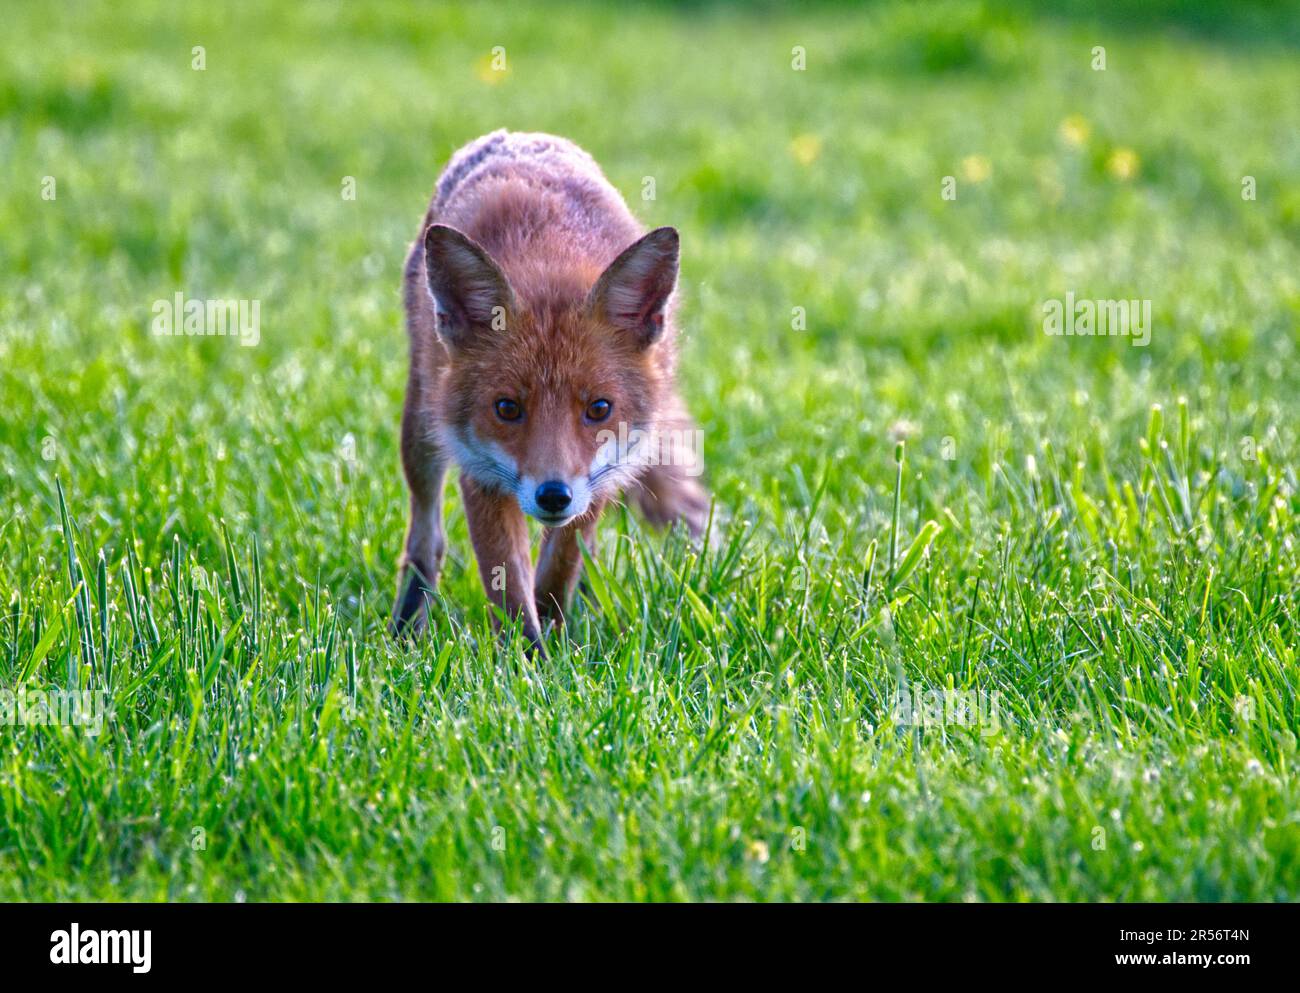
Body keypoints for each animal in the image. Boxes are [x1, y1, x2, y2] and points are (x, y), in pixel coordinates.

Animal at [390, 130, 710, 650]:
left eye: (599, 408)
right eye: (506, 408)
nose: (553, 496)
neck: (550, 254)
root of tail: (517, 135)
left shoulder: (600, 475)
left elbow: (559, 569)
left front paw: (555, 641)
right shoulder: (479, 468)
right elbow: (509, 589)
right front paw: (525, 660)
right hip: (421, 424)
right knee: (426, 538)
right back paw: (407, 624)